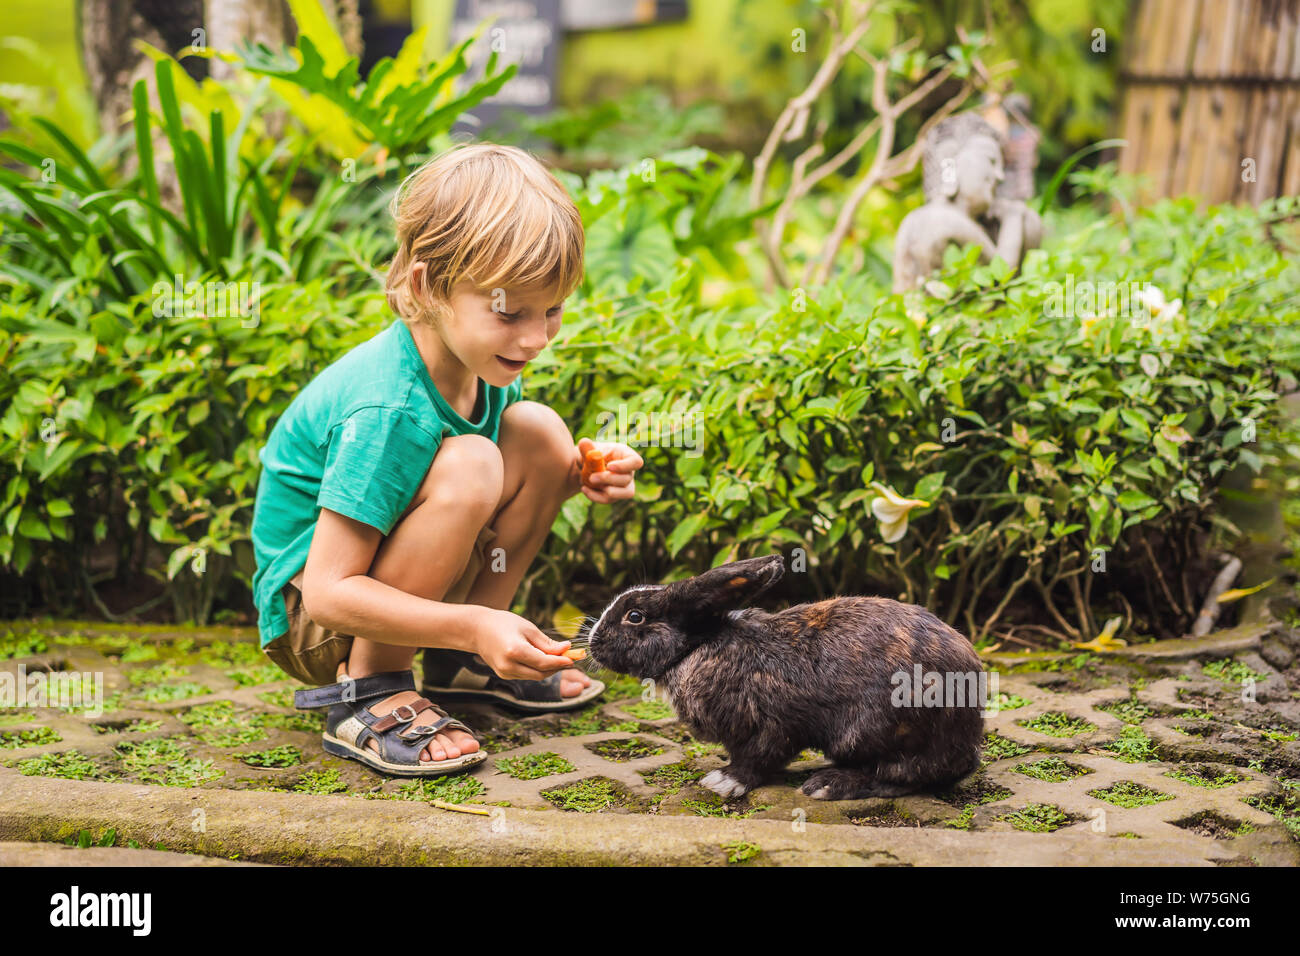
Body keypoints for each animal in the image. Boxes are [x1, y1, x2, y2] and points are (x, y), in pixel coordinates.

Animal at [583, 553, 986, 800]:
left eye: (635, 617)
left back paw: (828, 784)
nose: (593, 642)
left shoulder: (774, 725)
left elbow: (758, 758)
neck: (695, 648)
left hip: (873, 731)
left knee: (907, 774)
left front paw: (723, 783)